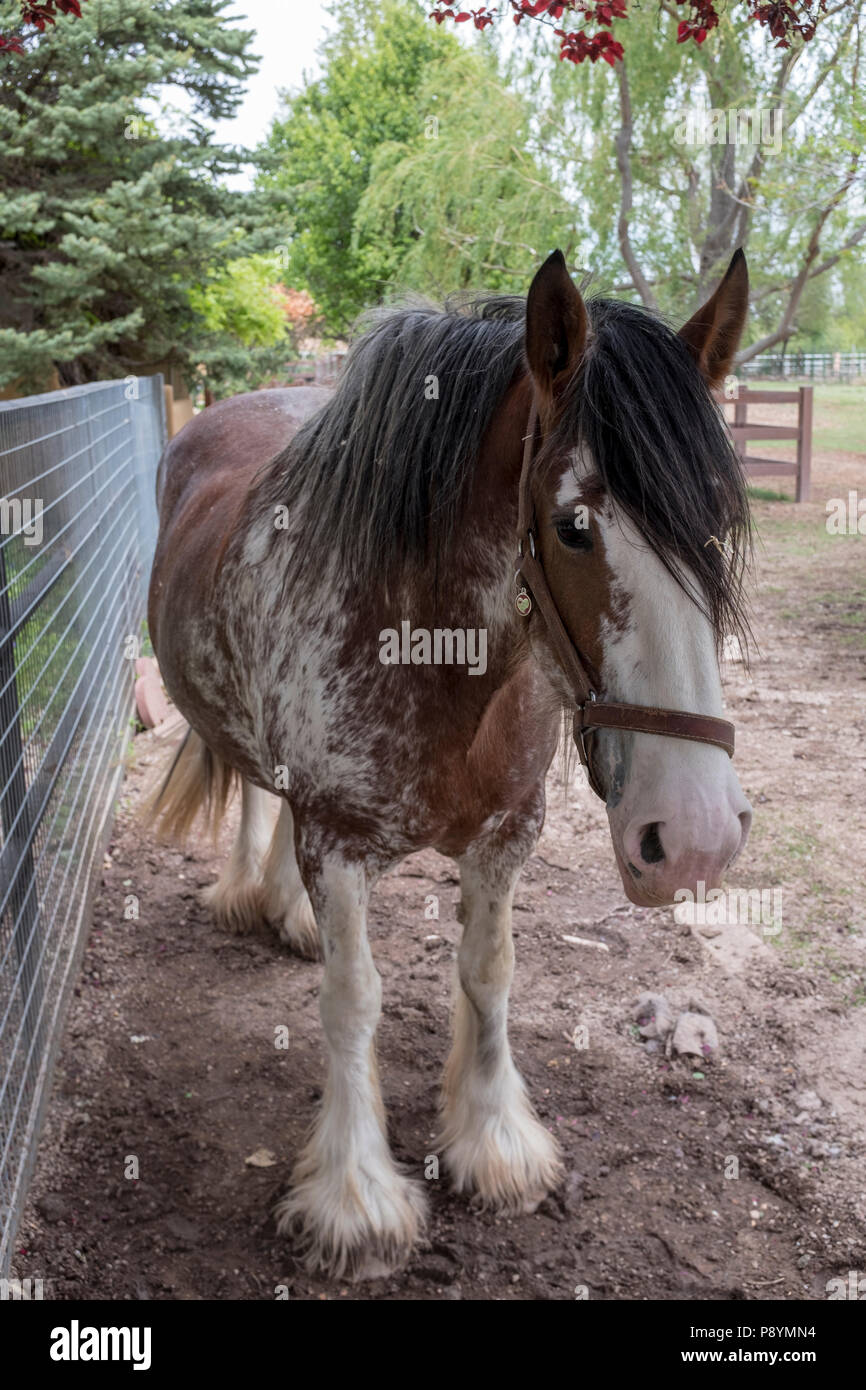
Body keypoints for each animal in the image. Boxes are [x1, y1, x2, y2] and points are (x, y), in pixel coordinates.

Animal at [147, 249, 753, 1277]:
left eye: (718, 523)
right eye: (573, 527)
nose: (697, 838)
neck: (428, 651)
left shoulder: (509, 834)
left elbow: (488, 972)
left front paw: (495, 1143)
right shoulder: (337, 842)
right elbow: (352, 1001)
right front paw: (356, 1198)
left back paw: (285, 911)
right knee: (256, 796)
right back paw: (245, 891)